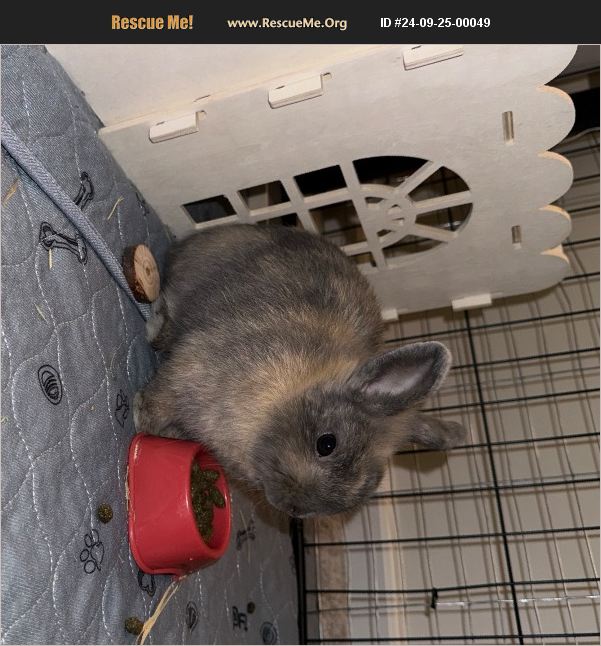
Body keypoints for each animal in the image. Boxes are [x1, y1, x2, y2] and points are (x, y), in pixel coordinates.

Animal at [134, 223, 467, 518]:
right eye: (326, 444)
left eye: (372, 484)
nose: (293, 509)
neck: (282, 402)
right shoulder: (190, 369)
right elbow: (159, 402)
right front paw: (141, 418)